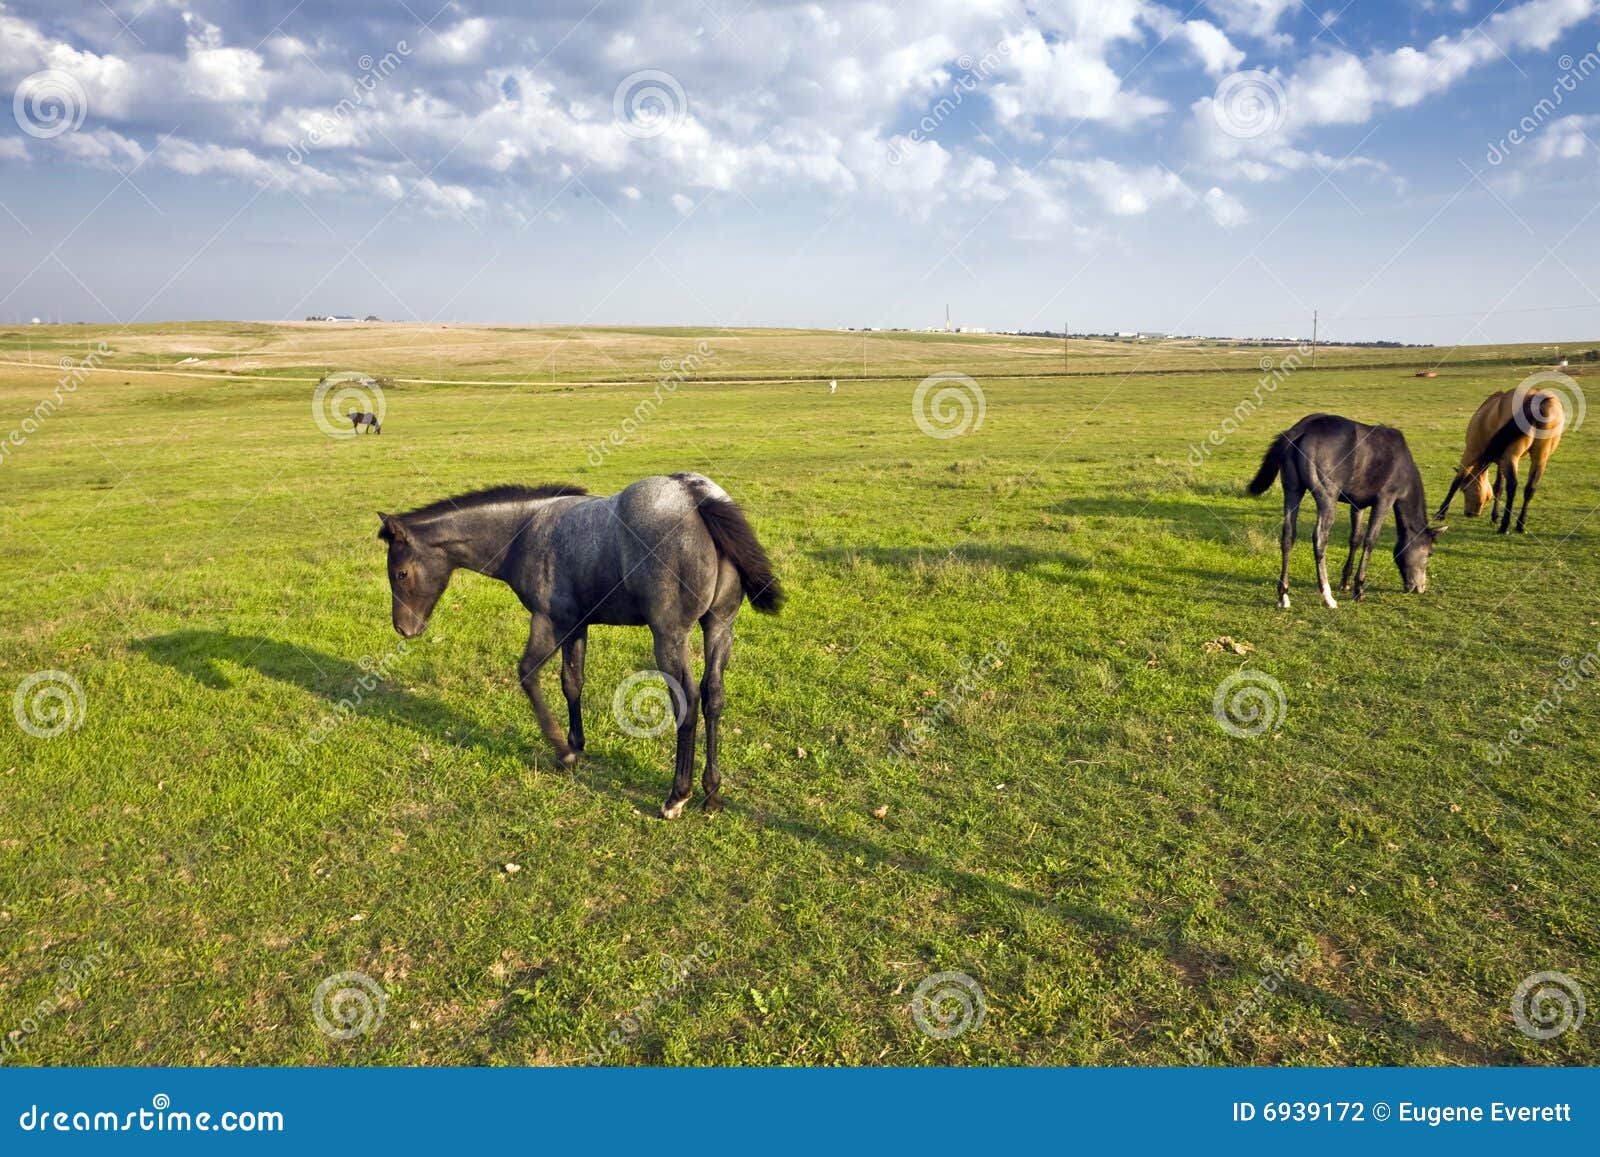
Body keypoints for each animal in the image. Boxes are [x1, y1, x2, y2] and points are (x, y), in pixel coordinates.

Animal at [377, 473, 783, 818]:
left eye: (401, 573)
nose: (404, 629)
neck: (524, 532)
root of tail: (696, 494)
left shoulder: (548, 621)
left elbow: (528, 674)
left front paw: (563, 752)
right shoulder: (576, 626)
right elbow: (572, 682)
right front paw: (576, 744)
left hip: (669, 635)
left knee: (688, 698)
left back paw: (676, 796)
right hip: (719, 626)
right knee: (713, 695)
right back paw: (711, 792)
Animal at [1247, 414, 1444, 609]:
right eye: (1429, 553)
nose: (1420, 587)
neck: (1403, 464)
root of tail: (1302, 428)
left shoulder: (1357, 505)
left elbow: (1355, 538)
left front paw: (1346, 582)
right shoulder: (1385, 500)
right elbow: (1370, 540)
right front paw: (1359, 589)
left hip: (1292, 490)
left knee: (1288, 536)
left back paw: (1284, 595)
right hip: (1327, 497)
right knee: (1320, 538)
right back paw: (1327, 596)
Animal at [1433, 387, 1564, 533]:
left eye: (1465, 490)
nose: (1470, 514)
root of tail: (1537, 396)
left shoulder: (1471, 452)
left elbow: (1457, 480)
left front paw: (1441, 513)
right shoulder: (1501, 461)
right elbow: (1498, 487)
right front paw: (1495, 516)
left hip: (1511, 456)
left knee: (1512, 485)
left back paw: (1504, 526)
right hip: (1540, 458)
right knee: (1530, 488)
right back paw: (1520, 525)